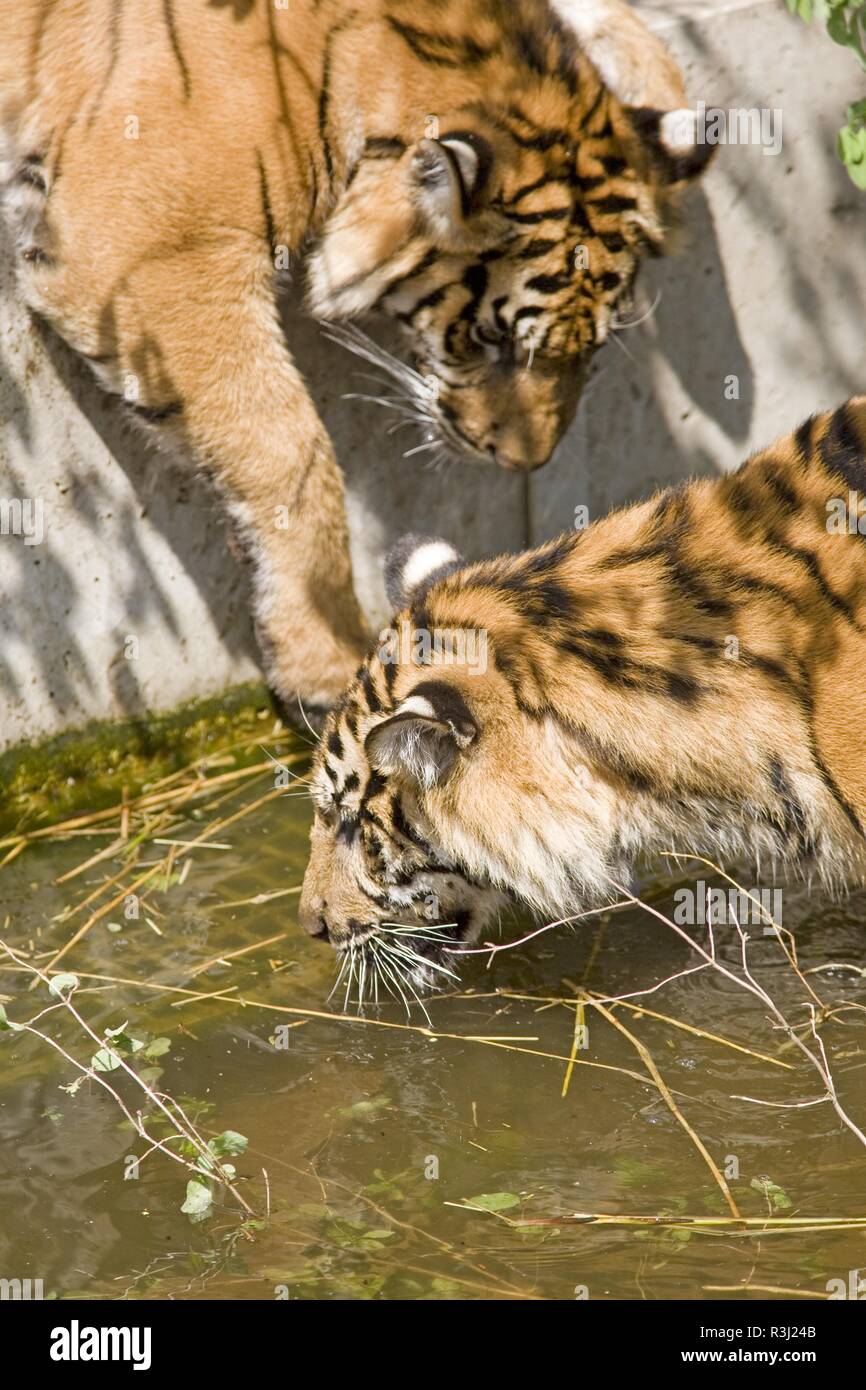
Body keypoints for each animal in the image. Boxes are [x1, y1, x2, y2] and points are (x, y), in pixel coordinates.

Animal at [0, 0, 712, 722]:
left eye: (591, 350)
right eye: (491, 340)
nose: (525, 463)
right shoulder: (154, 250)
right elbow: (289, 450)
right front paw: (323, 658)